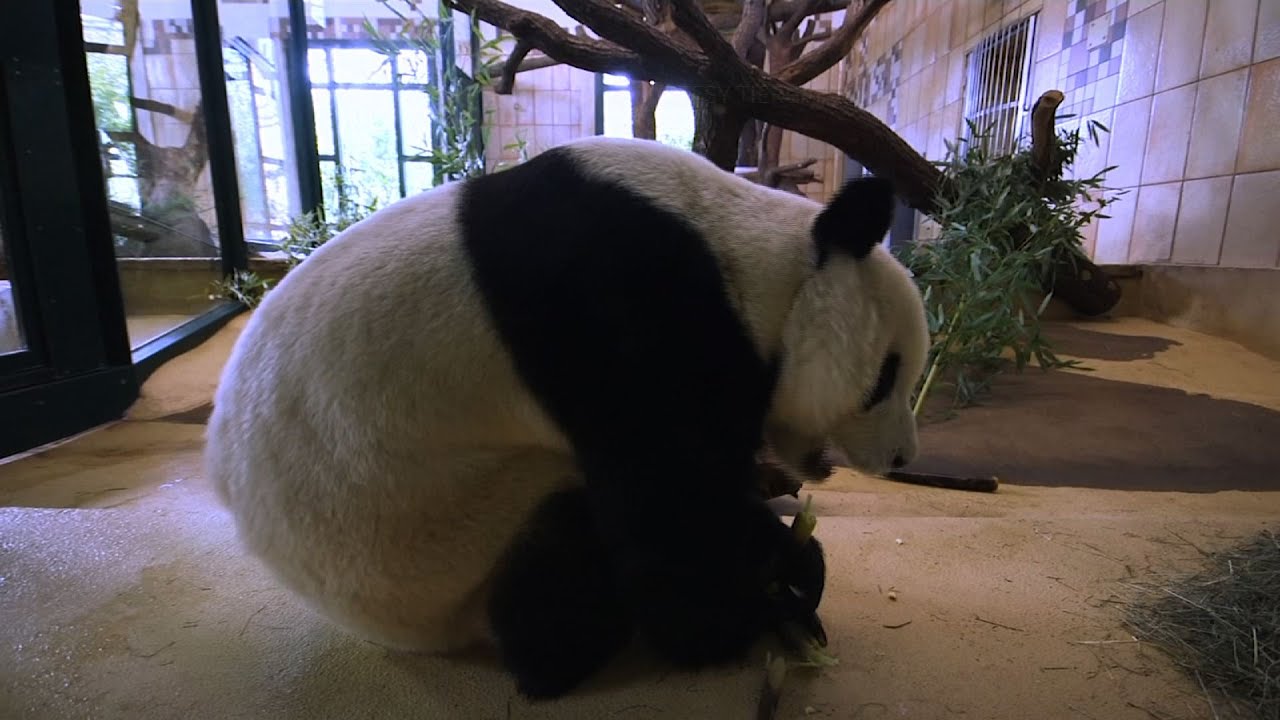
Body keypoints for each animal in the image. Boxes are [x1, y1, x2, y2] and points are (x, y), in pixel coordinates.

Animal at [204, 136, 930, 699]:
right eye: (885, 377)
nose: (902, 457)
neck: (752, 265)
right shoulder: (625, 313)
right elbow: (668, 505)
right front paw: (752, 604)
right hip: (438, 535)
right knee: (556, 554)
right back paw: (562, 653)